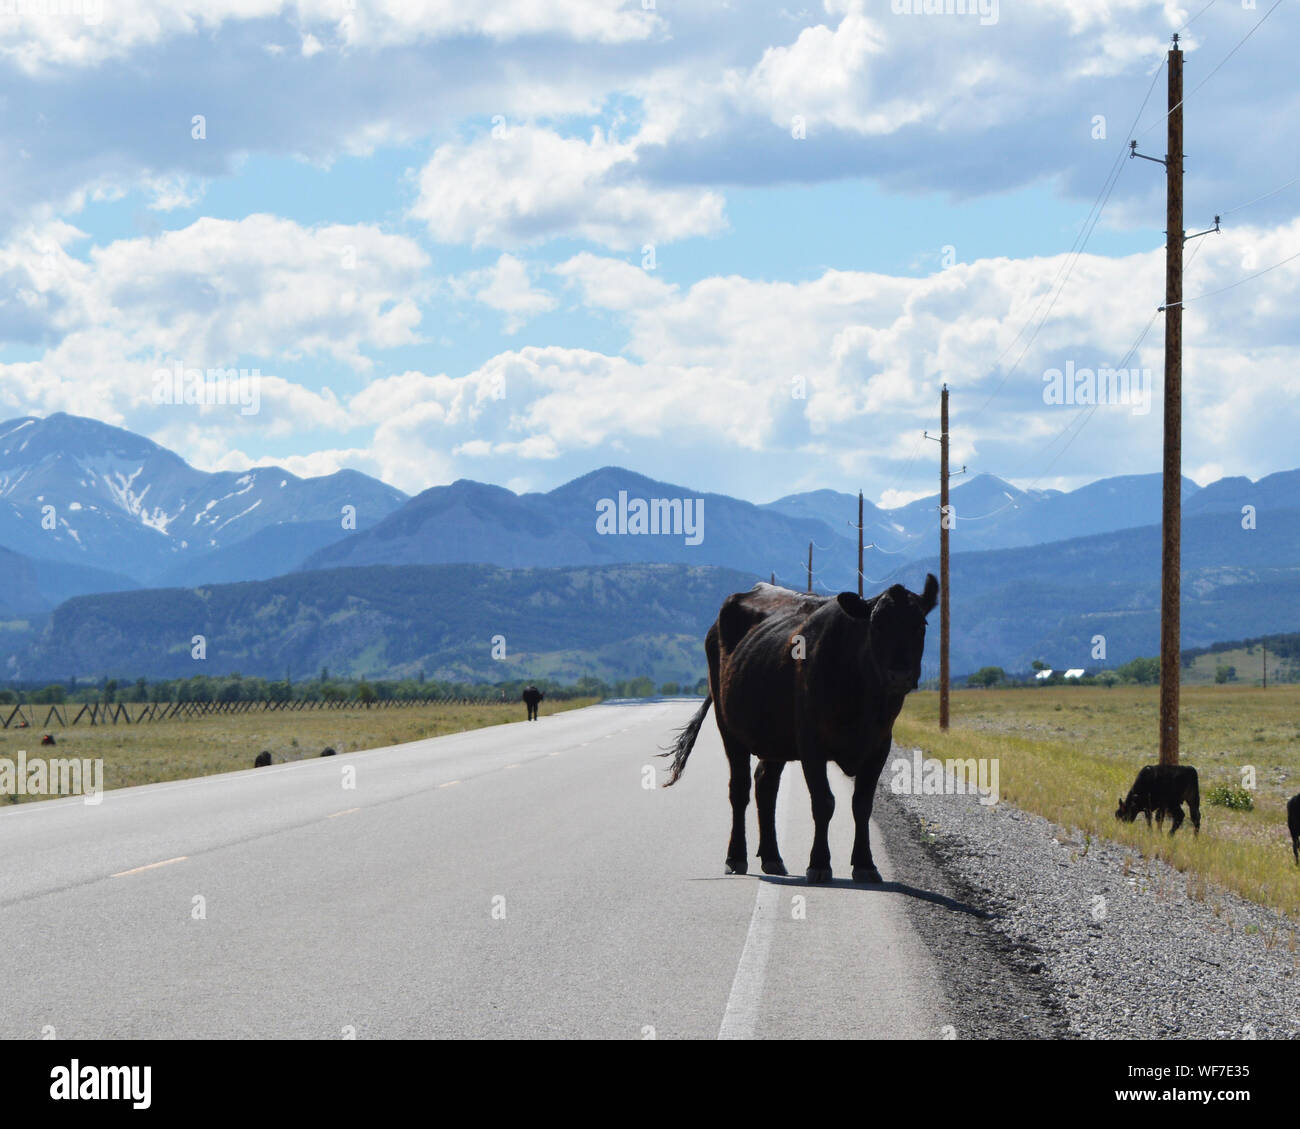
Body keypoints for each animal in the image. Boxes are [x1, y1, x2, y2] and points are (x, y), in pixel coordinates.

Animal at [662, 575, 939, 884]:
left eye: (920, 625)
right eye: (876, 624)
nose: (900, 675)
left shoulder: (879, 746)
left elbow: (862, 805)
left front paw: (865, 864)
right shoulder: (811, 743)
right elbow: (823, 802)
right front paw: (819, 864)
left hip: (774, 737)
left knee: (765, 786)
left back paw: (772, 857)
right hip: (728, 725)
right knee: (740, 789)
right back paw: (736, 857)